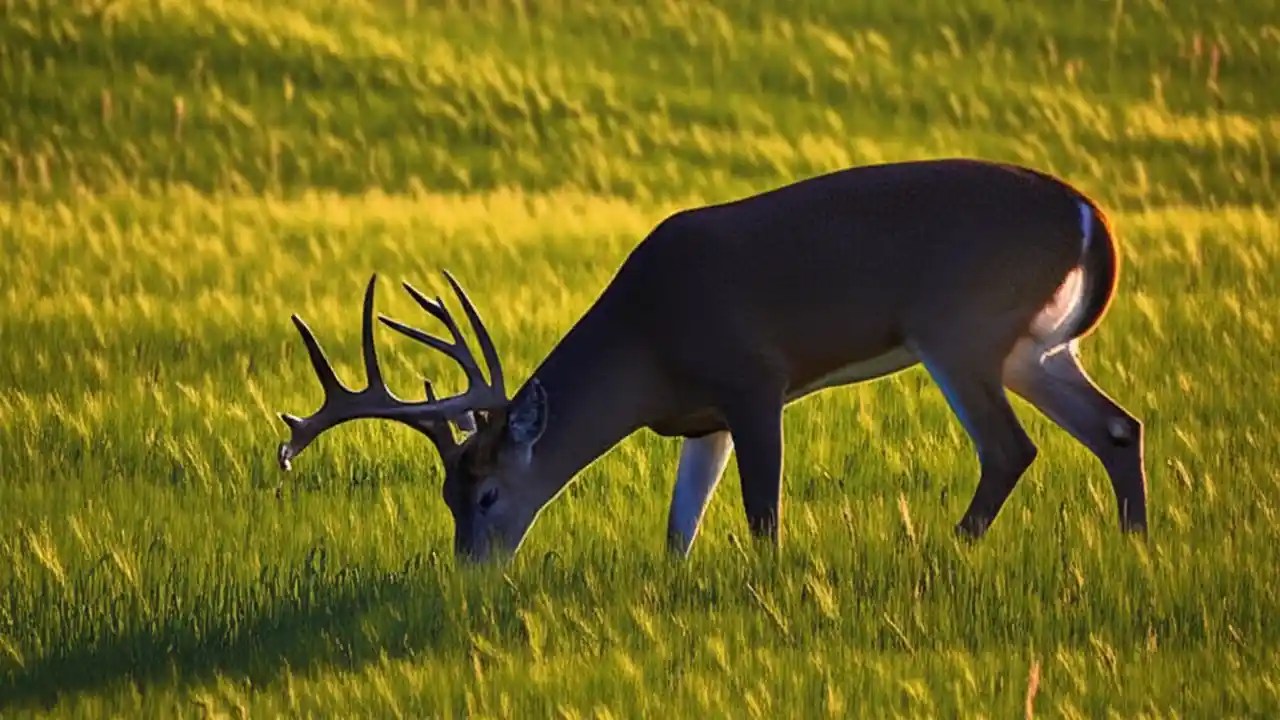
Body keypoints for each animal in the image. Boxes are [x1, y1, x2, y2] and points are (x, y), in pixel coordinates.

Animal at [273, 158, 1148, 563]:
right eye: (447, 497)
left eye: (486, 495)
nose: (470, 570)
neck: (650, 339)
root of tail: (1089, 216)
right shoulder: (701, 421)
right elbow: (678, 528)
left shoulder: (754, 381)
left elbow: (763, 516)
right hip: (1033, 346)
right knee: (1117, 427)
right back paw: (1136, 545)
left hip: (961, 328)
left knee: (1010, 448)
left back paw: (946, 547)